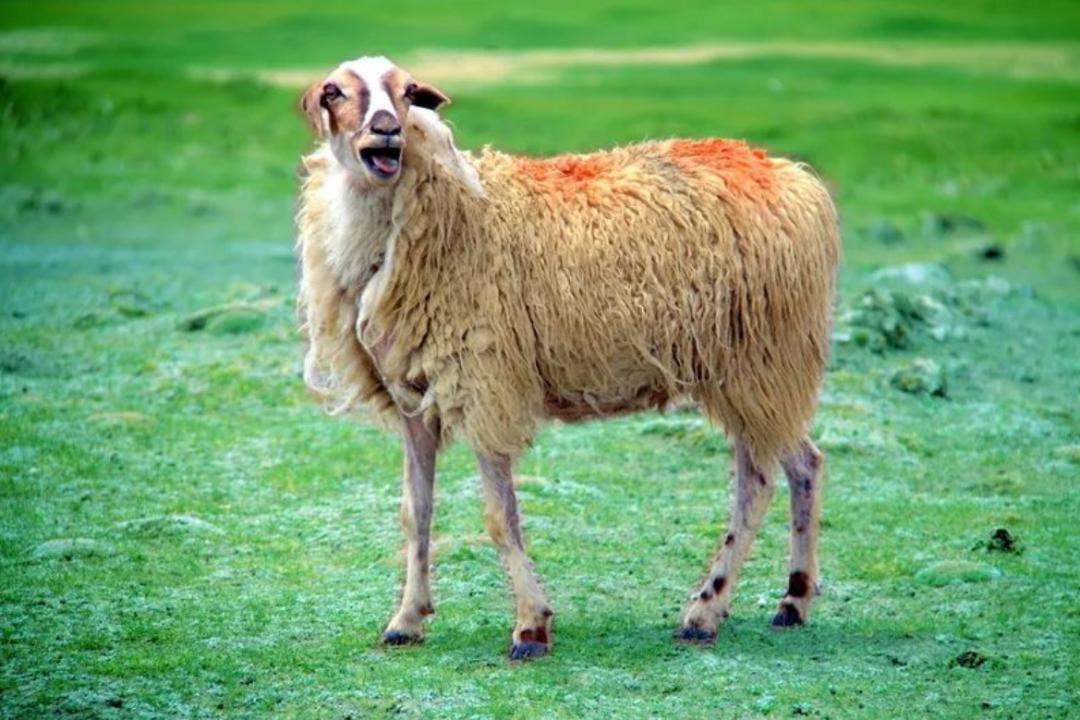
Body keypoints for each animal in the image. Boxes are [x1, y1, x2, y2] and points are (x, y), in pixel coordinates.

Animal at [295, 56, 841, 660]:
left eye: (408, 91)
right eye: (334, 91)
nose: (388, 129)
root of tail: (791, 176)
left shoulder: (484, 386)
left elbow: (499, 518)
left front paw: (531, 627)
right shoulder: (414, 400)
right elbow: (416, 513)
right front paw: (406, 620)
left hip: (757, 362)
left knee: (759, 483)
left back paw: (706, 611)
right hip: (752, 370)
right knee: (803, 464)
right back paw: (791, 601)